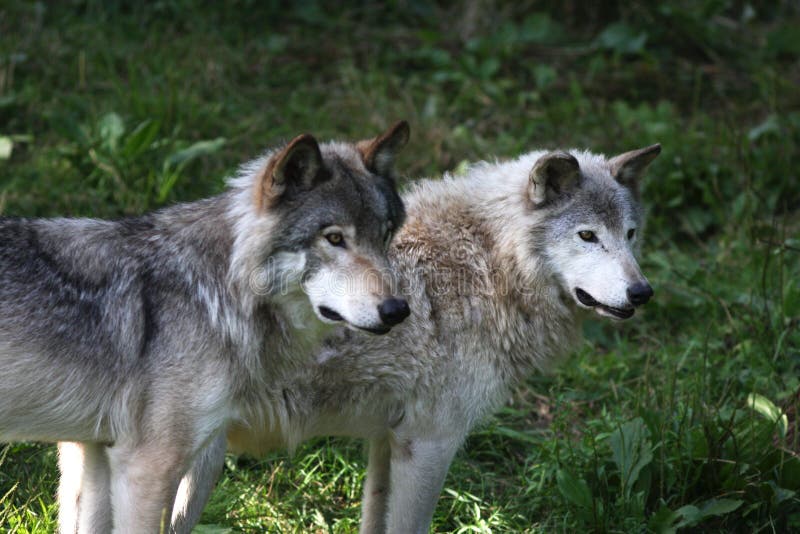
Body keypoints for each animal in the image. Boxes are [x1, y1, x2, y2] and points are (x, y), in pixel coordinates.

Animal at [0, 121, 412, 533]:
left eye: (385, 235)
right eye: (335, 238)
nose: (398, 309)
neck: (218, 290)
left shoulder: (94, 451)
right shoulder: (147, 466)